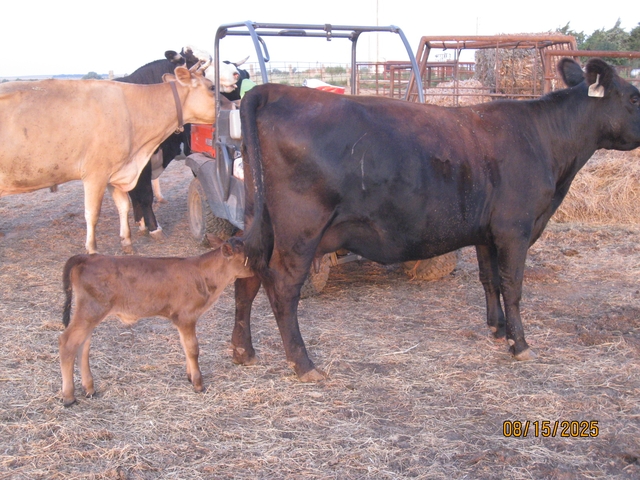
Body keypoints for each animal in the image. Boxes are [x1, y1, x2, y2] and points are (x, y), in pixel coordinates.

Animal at [0, 64, 215, 253]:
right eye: (212, 87)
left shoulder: (116, 171)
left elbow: (124, 205)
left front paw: (127, 241)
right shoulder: (95, 174)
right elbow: (93, 213)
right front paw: (92, 248)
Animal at [59, 237, 253, 407]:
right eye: (246, 258)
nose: (255, 270)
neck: (204, 275)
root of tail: (88, 257)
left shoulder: (181, 321)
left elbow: (185, 347)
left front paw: (190, 376)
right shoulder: (186, 317)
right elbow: (192, 349)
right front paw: (198, 384)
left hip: (89, 313)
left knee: (83, 345)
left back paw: (89, 389)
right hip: (91, 310)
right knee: (67, 342)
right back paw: (69, 397)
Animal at [232, 58, 640, 382]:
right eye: (635, 97)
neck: (545, 142)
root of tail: (272, 91)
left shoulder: (486, 232)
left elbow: (489, 280)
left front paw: (497, 330)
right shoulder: (515, 229)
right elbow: (513, 286)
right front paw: (521, 344)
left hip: (260, 223)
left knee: (248, 275)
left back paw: (243, 351)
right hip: (301, 231)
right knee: (283, 287)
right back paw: (303, 364)